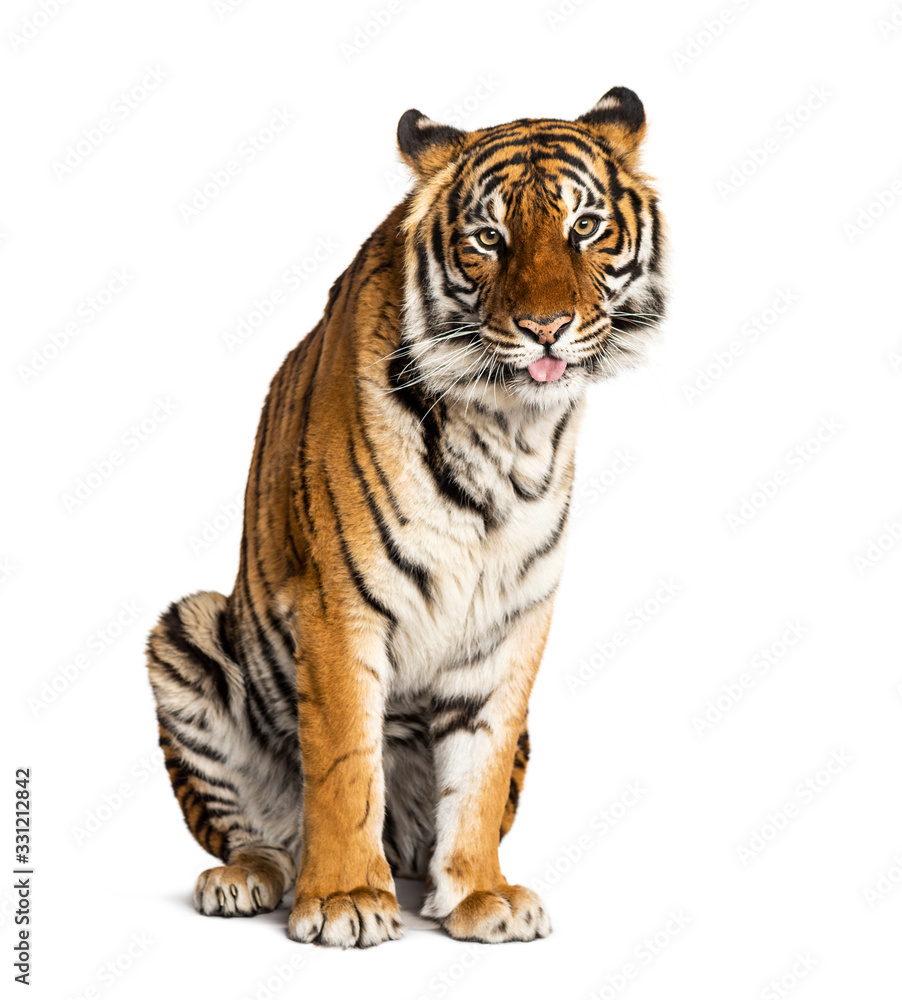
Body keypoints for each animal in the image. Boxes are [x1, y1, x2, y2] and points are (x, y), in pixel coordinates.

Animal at [146, 85, 667, 948]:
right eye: (488, 238)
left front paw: (482, 895)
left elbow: (479, 775)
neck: (508, 430)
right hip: (187, 632)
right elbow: (345, 762)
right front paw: (346, 900)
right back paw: (249, 881)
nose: (547, 328)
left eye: (585, 227)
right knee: (257, 833)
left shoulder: (512, 619)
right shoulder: (337, 608)